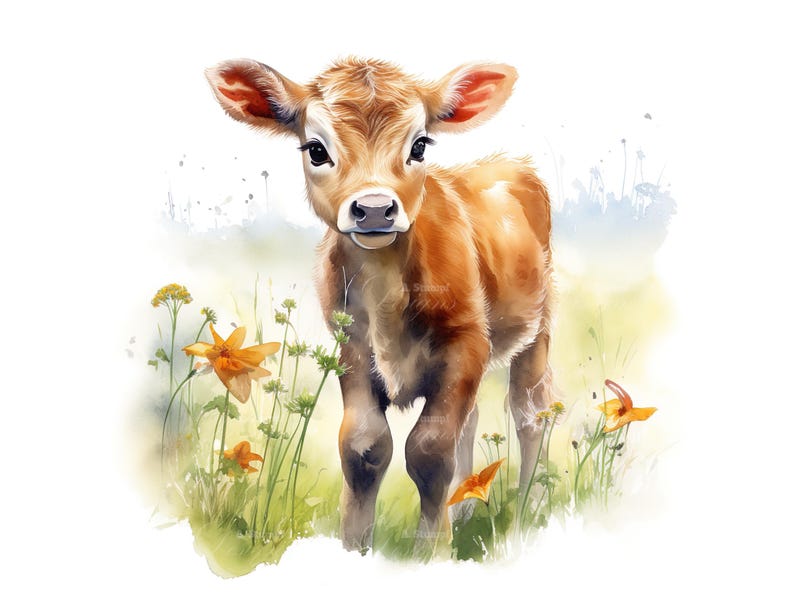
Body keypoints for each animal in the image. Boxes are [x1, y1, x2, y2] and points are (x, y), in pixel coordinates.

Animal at [205, 57, 553, 554]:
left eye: (419, 145)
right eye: (316, 149)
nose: (373, 209)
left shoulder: (466, 343)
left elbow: (429, 450)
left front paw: (431, 551)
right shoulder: (350, 348)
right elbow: (364, 448)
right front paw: (355, 547)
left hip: (538, 326)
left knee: (530, 413)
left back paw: (532, 509)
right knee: (473, 421)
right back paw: (463, 509)